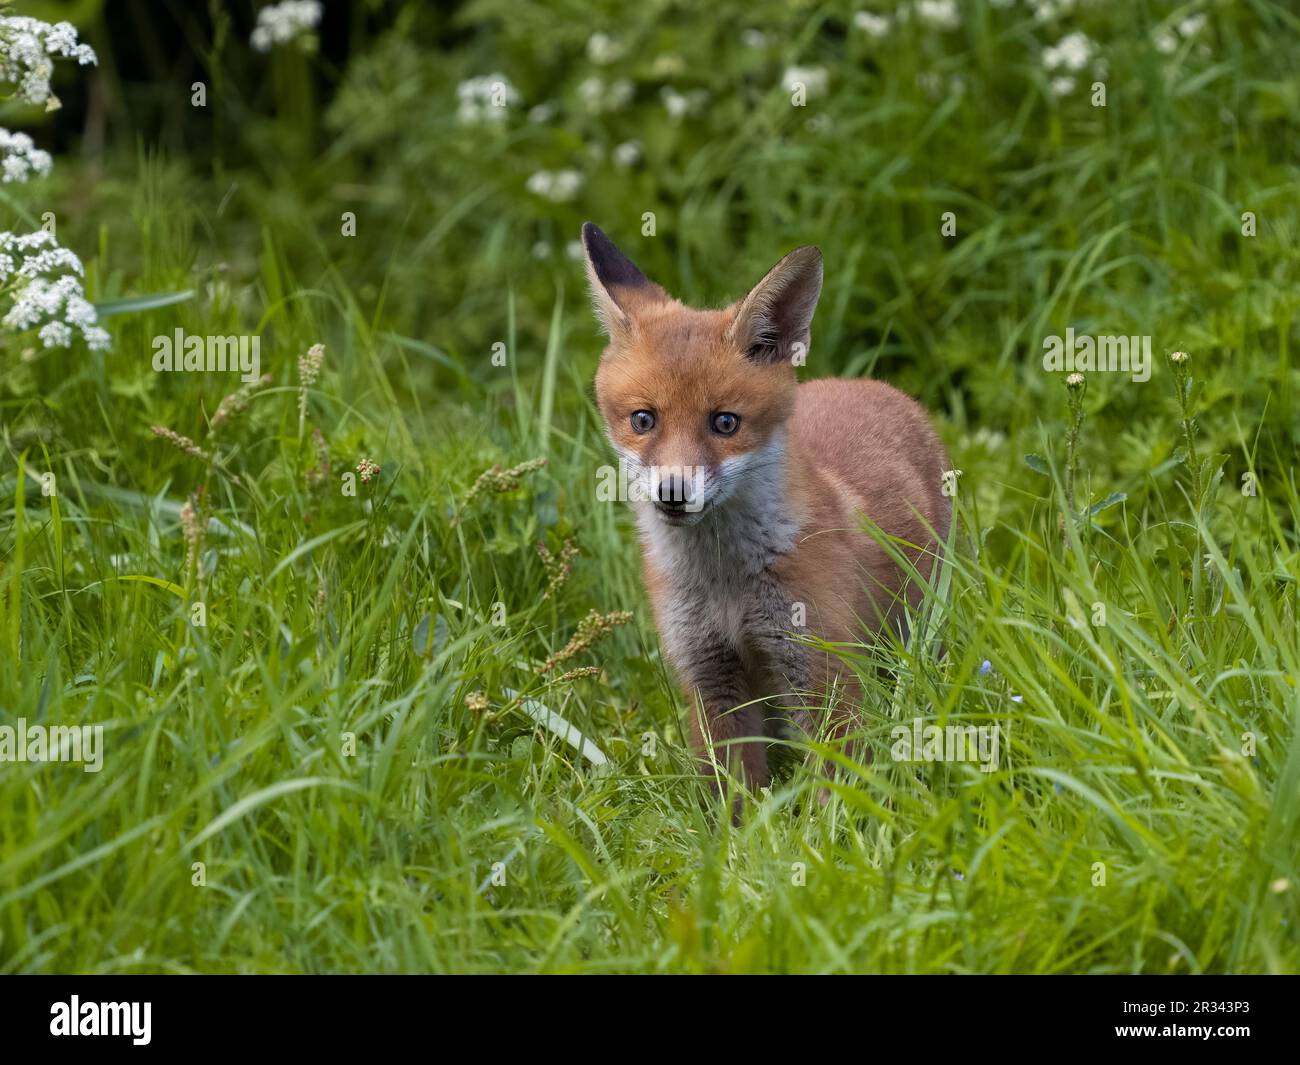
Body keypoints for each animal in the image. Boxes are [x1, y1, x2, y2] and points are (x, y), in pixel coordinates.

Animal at [582, 222, 951, 800]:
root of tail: (877, 386)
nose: (673, 492)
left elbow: (837, 788)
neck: (726, 580)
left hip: (918, 635)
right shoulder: (710, 676)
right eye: (643, 420)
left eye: (725, 423)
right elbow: (733, 798)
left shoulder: (822, 669)